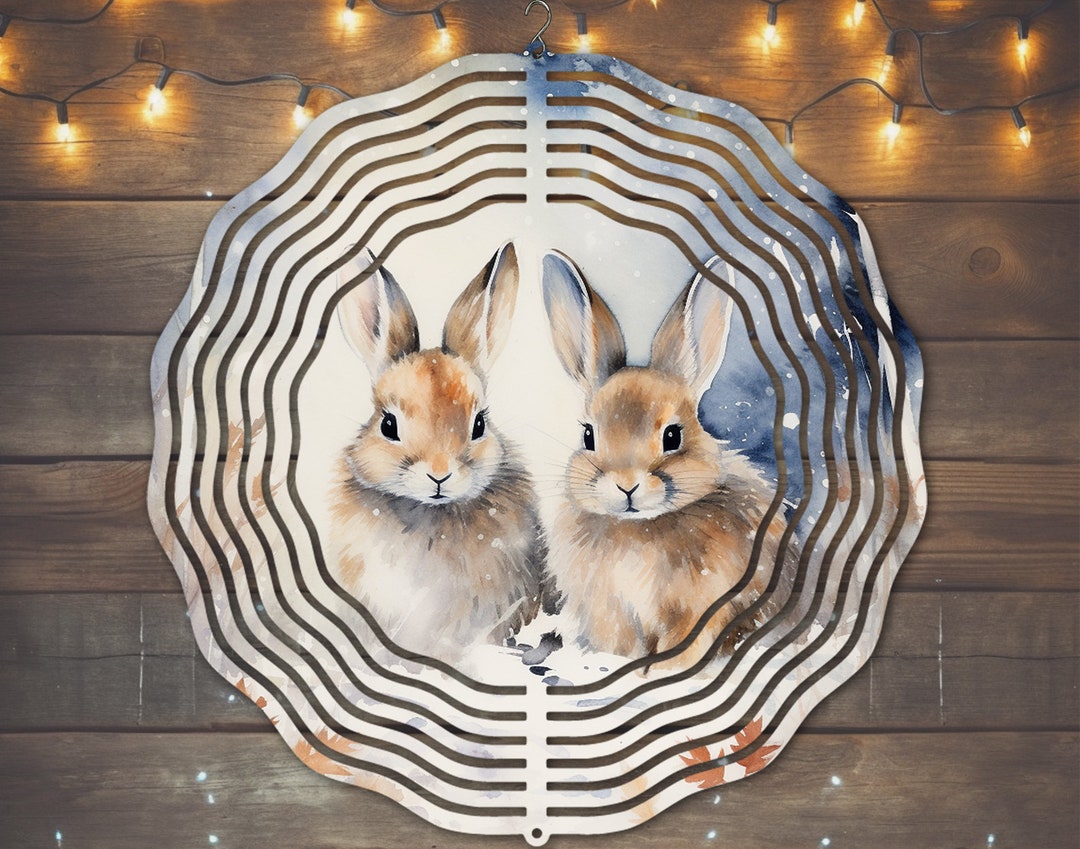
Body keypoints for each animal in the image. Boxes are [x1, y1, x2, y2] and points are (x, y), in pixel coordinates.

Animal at [540, 250, 790, 668]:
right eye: (588, 435)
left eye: (673, 436)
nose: (626, 485)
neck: (638, 529)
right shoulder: (612, 613)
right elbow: (620, 644)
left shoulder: (701, 608)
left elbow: (684, 646)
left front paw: (662, 672)